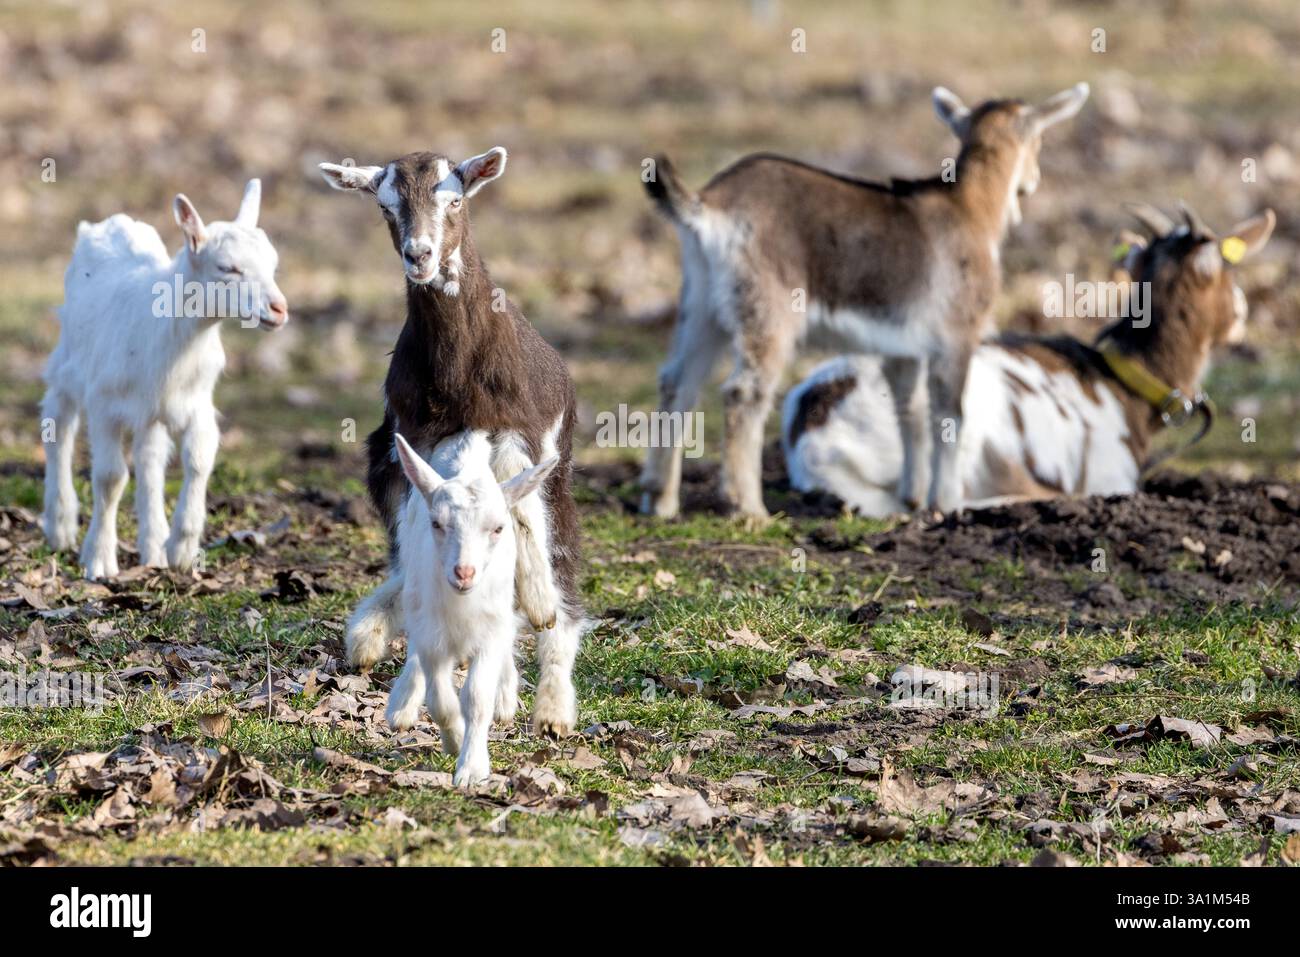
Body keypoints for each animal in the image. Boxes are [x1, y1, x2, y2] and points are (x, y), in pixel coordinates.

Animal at [42, 179, 288, 579]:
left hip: (151, 413)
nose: (279, 310)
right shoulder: (104, 404)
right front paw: (99, 560)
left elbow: (199, 460)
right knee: (57, 421)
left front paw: (181, 549)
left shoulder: (196, 404)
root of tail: (108, 222)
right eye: (228, 267)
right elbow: (110, 477)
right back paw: (60, 526)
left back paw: (153, 547)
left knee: (150, 459)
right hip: (69, 362)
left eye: (273, 264)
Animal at [319, 149, 584, 738]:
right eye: (384, 205)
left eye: (455, 200)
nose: (420, 255)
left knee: (557, 568)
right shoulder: (408, 444)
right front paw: (389, 663)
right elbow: (420, 532)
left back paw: (551, 707)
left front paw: (536, 610)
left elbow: (520, 525)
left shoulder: (520, 436)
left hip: (561, 485)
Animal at [385, 430, 558, 787]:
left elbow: (477, 697)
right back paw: (403, 702)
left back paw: (505, 696)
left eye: (498, 528)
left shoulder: (489, 633)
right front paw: (453, 740)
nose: (464, 573)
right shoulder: (432, 637)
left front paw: (471, 768)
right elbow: (440, 700)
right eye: (437, 524)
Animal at [640, 83, 1089, 520]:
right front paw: (945, 503)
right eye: (1040, 140)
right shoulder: (957, 335)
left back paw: (659, 501)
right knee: (743, 392)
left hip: (703, 303)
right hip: (766, 305)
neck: (971, 209)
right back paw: (748, 509)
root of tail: (706, 206)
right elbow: (949, 415)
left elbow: (911, 412)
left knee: (677, 380)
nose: (1032, 181)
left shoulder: (902, 347)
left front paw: (912, 499)